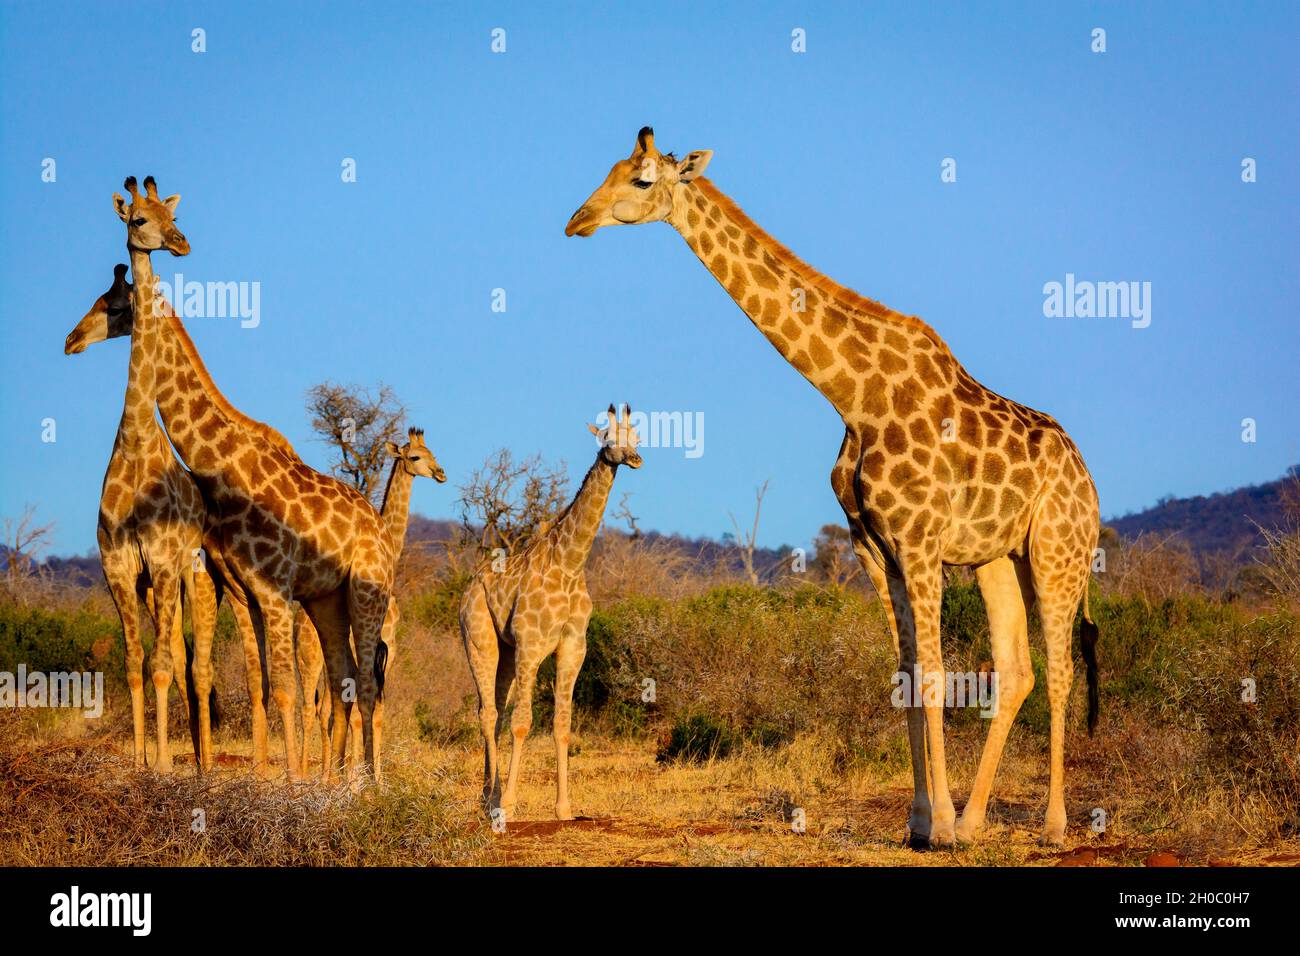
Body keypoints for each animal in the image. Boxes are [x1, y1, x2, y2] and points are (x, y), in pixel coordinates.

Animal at [64, 263, 218, 773]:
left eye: (114, 306)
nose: (71, 340)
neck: (134, 444)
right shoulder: (120, 566)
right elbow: (135, 661)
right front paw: (139, 759)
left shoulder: (165, 562)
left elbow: (163, 664)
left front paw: (166, 764)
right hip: (153, 586)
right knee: (177, 656)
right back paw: (192, 754)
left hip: (195, 577)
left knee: (197, 664)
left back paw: (206, 762)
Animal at [113, 176, 396, 783]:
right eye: (140, 220)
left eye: (167, 217)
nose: (181, 243)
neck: (223, 467)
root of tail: (382, 532)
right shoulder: (254, 590)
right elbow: (269, 686)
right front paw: (288, 779)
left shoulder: (273, 590)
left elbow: (286, 689)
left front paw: (290, 782)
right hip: (329, 599)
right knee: (345, 678)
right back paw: (344, 784)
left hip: (369, 590)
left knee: (365, 684)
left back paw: (367, 784)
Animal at [297, 428, 446, 774]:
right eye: (415, 456)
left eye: (432, 452)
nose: (441, 473)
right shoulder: (385, 641)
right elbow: (375, 707)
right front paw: (367, 773)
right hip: (311, 656)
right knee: (313, 708)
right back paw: (307, 774)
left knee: (317, 707)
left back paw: (316, 772)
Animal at [460, 404, 641, 820]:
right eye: (609, 439)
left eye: (638, 438)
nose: (636, 458)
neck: (570, 563)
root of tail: (468, 586)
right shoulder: (531, 644)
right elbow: (523, 722)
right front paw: (511, 803)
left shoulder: (574, 646)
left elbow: (562, 724)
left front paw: (564, 807)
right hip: (479, 640)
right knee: (489, 714)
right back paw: (494, 801)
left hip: (506, 652)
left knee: (494, 710)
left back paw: (488, 796)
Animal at [566, 129, 1101, 847]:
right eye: (613, 169)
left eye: (643, 180)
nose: (578, 220)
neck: (853, 396)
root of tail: (1088, 478)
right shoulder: (874, 546)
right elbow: (906, 673)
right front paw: (922, 822)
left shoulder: (920, 541)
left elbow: (936, 674)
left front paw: (939, 828)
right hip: (996, 556)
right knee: (1017, 669)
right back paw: (975, 821)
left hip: (1057, 551)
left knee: (1062, 669)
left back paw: (1052, 825)